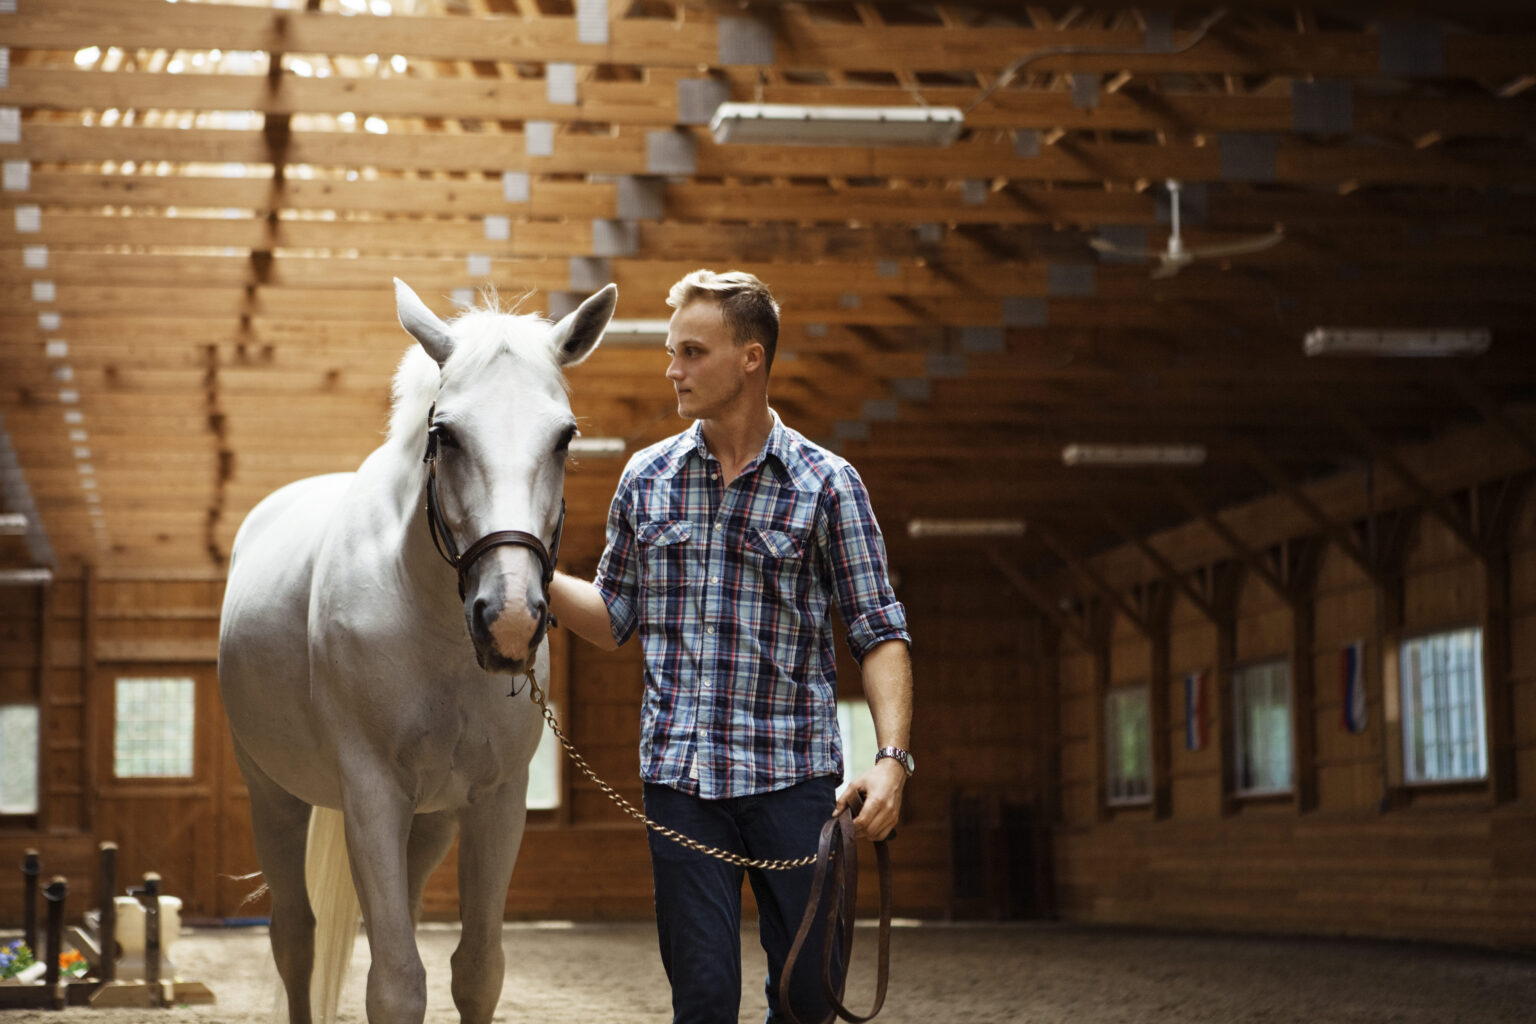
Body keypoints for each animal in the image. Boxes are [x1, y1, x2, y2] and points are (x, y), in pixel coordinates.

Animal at [217, 278, 615, 1024]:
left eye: (565, 436)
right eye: (444, 434)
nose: (508, 619)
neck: (435, 632)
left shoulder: (496, 801)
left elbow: (477, 971)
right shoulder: (372, 795)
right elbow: (396, 984)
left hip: (428, 823)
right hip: (273, 796)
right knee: (296, 938)